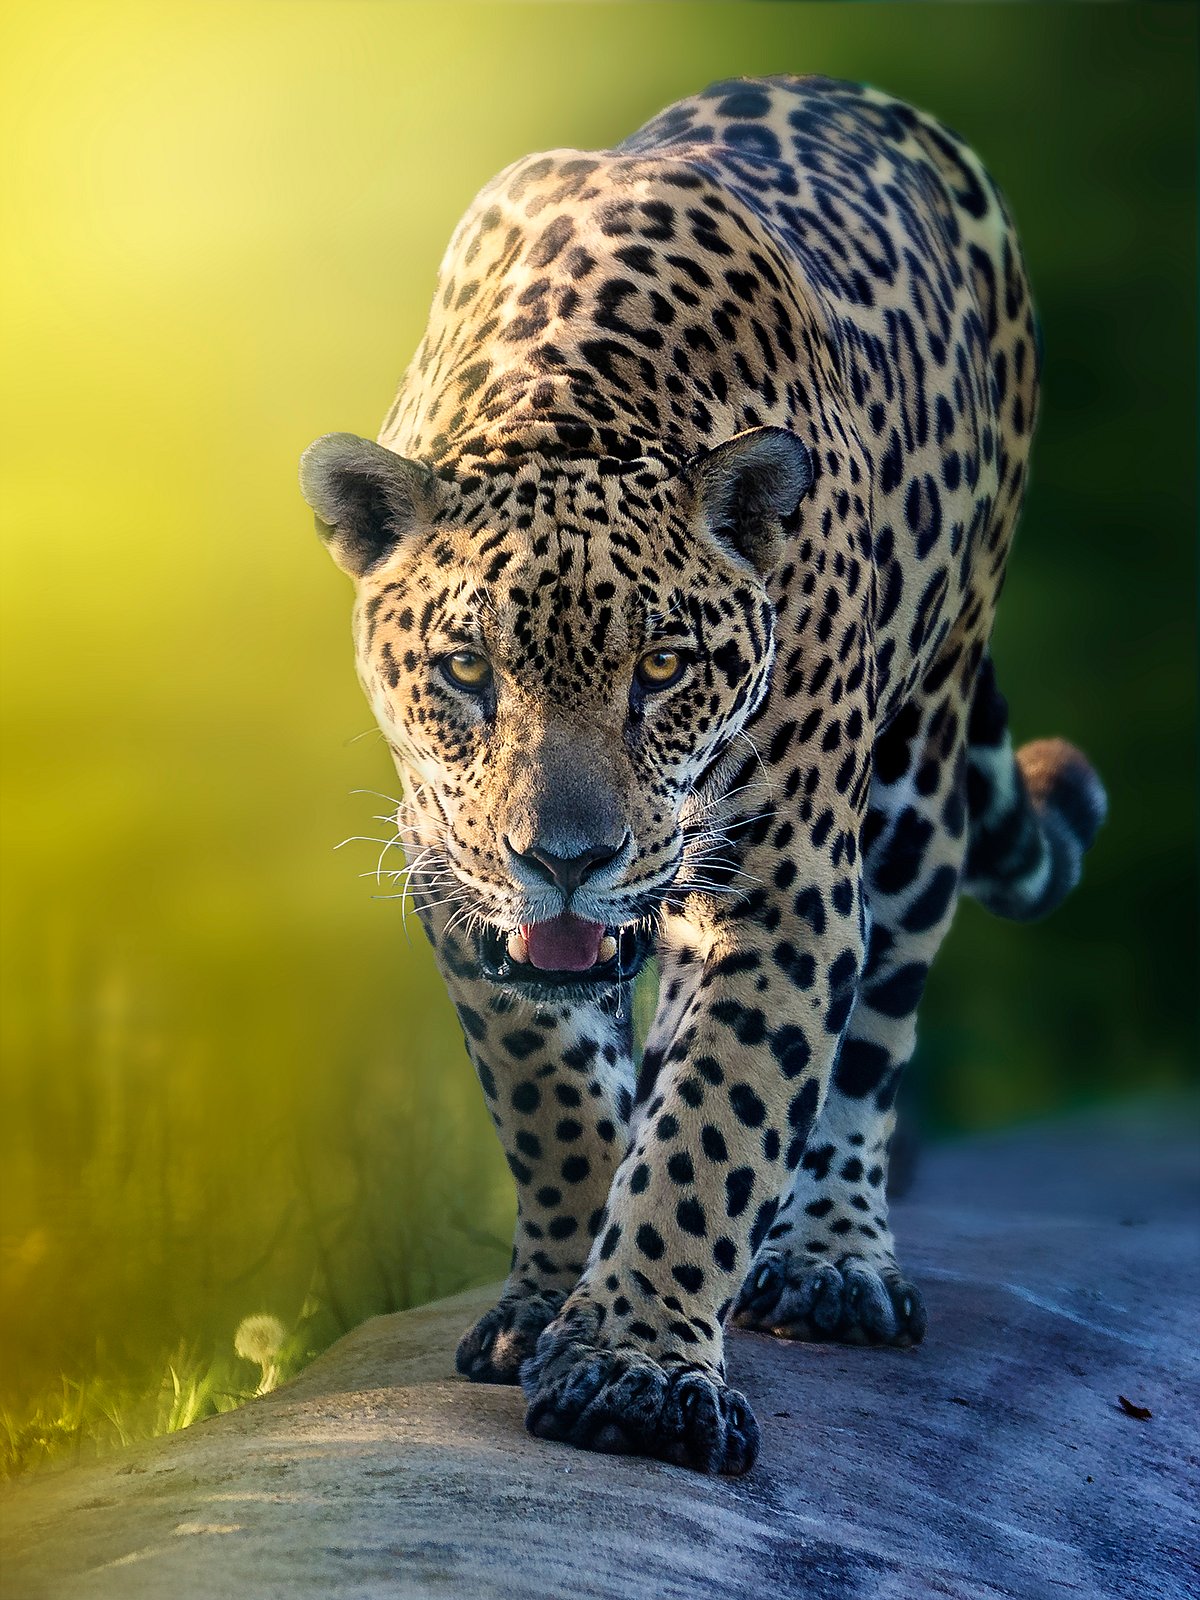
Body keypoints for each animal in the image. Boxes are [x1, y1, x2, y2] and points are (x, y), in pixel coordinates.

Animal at [299, 75, 1106, 1476]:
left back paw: (833, 1260)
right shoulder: (454, 873)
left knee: (871, 1039)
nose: (565, 859)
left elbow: (718, 1125)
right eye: (465, 670)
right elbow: (553, 1095)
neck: (567, 407)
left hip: (919, 765)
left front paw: (634, 1368)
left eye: (664, 666)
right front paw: (557, 1298)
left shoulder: (785, 890)